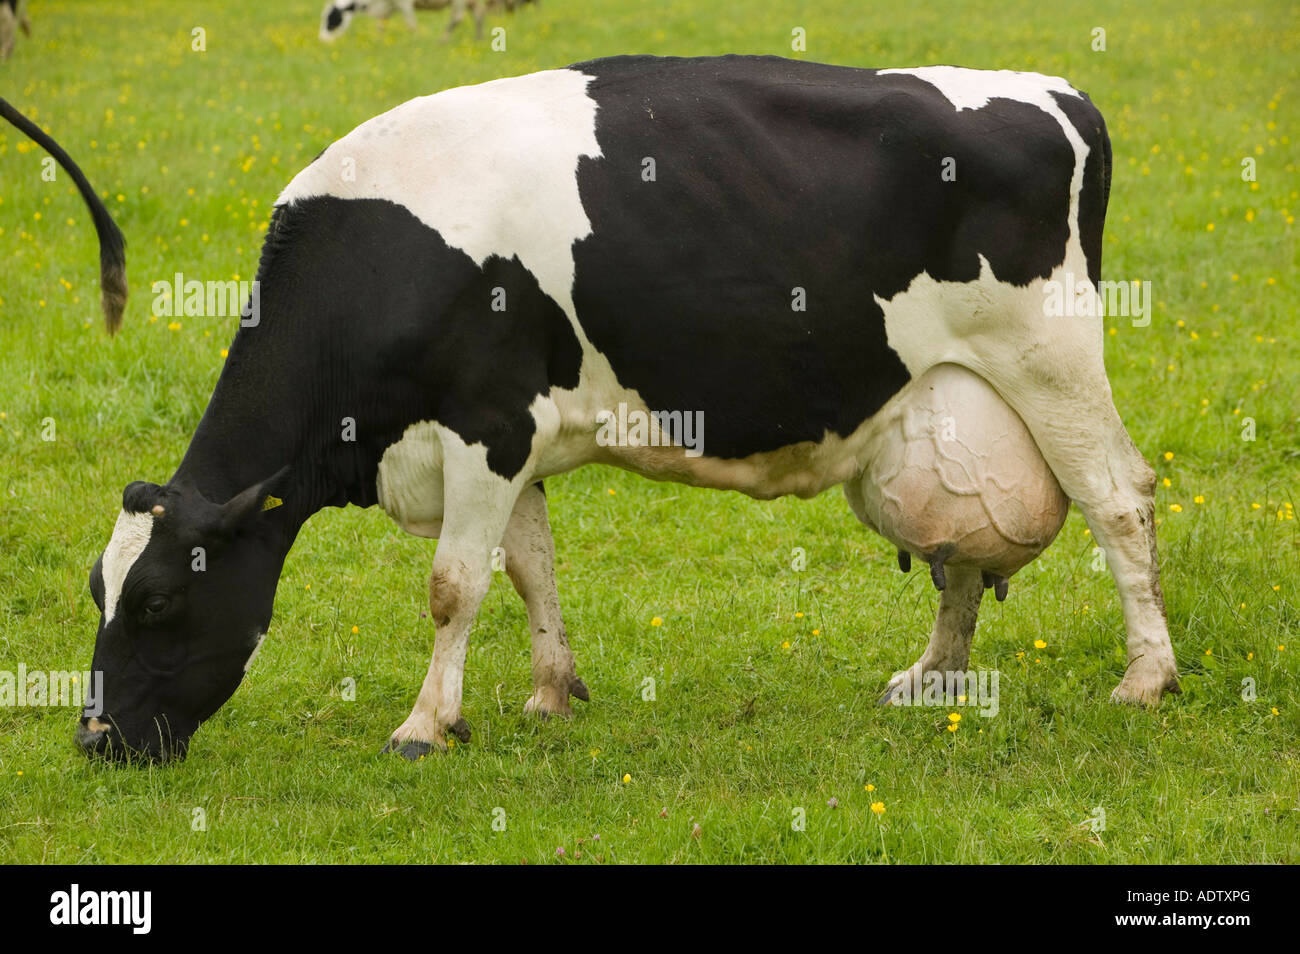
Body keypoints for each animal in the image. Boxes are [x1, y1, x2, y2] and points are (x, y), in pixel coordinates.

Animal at [79, 55, 1179, 763]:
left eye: (158, 601)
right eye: (99, 589)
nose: (95, 740)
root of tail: (1055, 91)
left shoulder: (486, 424)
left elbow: (453, 586)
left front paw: (423, 726)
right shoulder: (512, 433)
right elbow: (528, 567)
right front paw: (549, 694)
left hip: (1048, 356)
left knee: (1120, 500)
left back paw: (1146, 681)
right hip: (950, 394)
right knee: (961, 552)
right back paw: (933, 676)